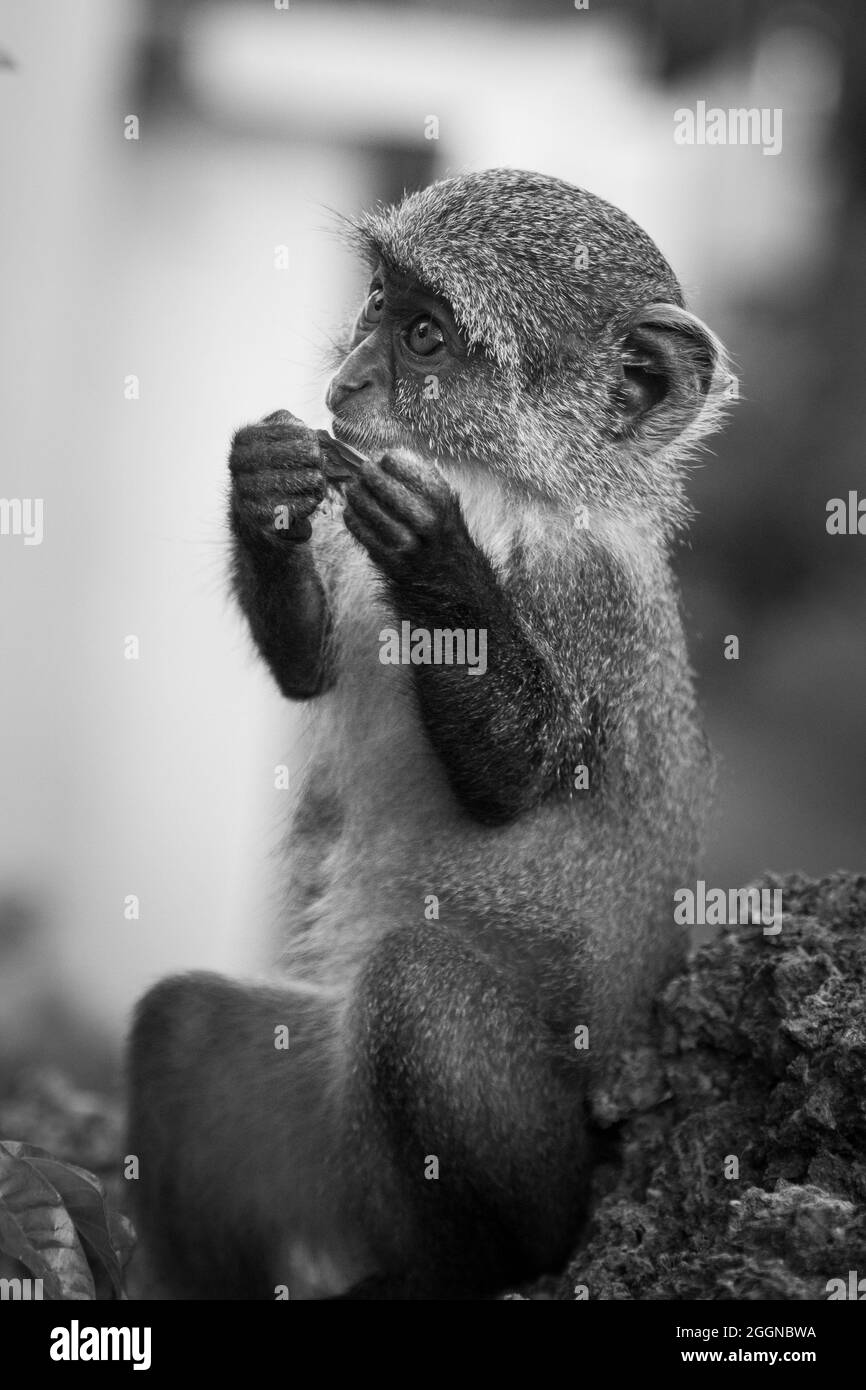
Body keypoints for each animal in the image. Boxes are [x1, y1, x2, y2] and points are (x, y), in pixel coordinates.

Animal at [127, 168, 731, 1301]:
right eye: (376, 298)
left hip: (544, 1154)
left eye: (426, 337)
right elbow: (308, 667)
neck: (507, 492)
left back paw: (490, 1265)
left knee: (417, 988)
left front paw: (434, 558)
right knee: (180, 1031)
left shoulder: (586, 593)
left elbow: (516, 778)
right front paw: (263, 485)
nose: (350, 377)